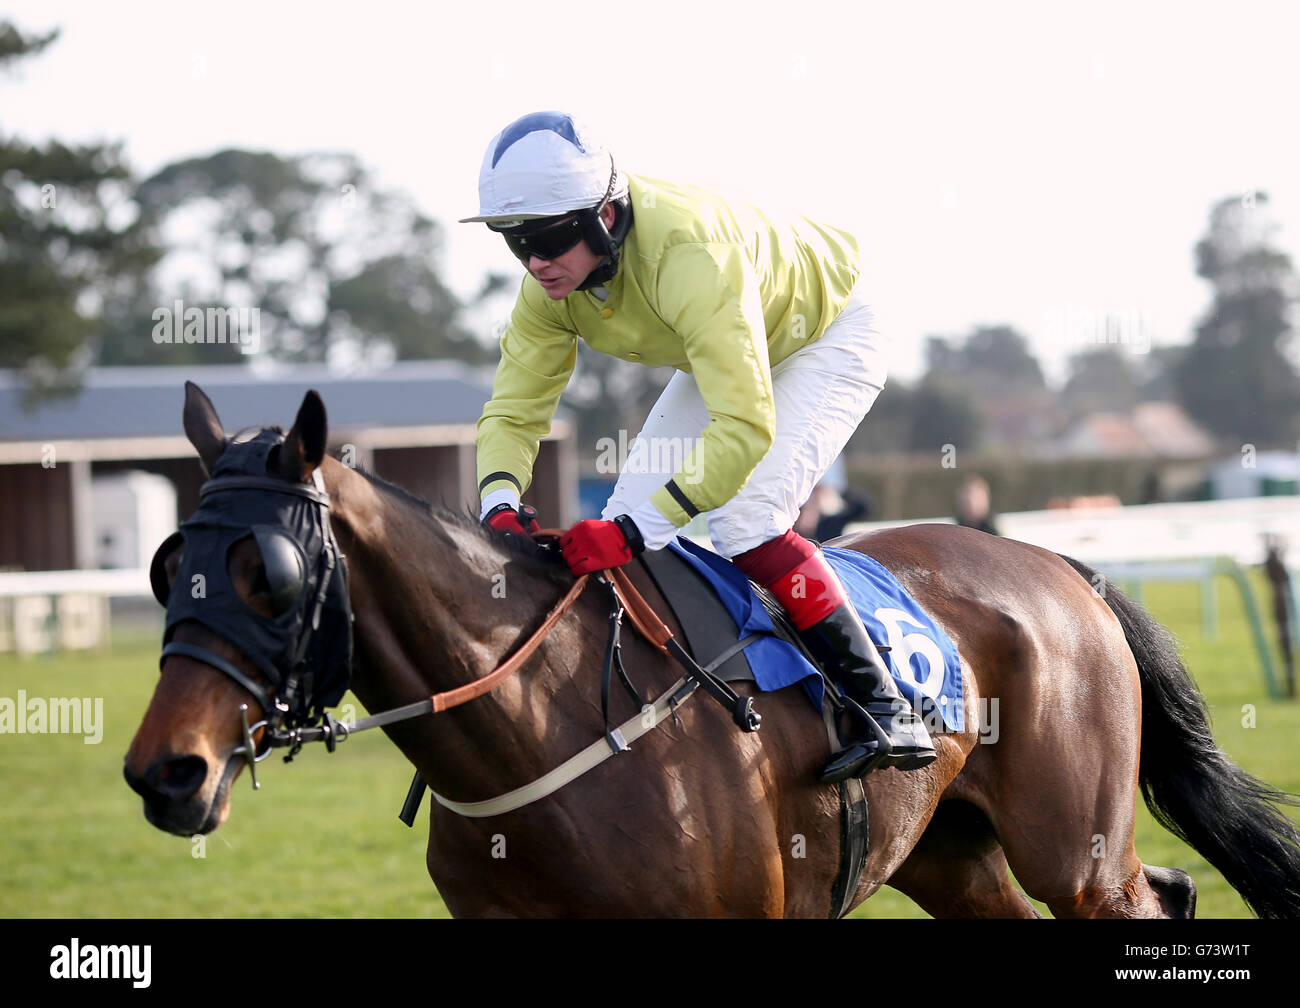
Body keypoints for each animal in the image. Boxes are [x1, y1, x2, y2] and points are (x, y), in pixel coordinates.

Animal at [124, 383, 1300, 918]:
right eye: (168, 564)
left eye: (270, 576)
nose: (164, 772)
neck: (537, 723)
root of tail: (1058, 564)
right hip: (949, 850)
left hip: (1077, 857)